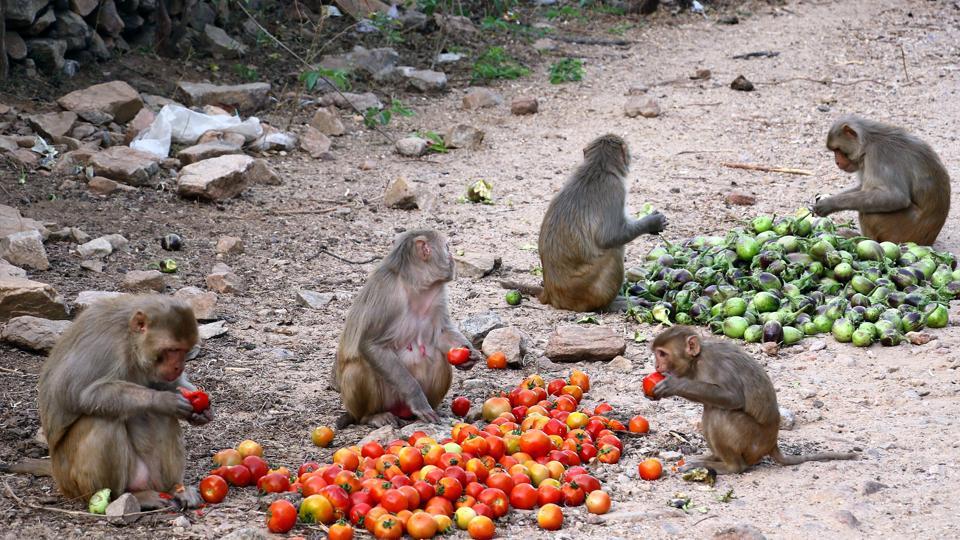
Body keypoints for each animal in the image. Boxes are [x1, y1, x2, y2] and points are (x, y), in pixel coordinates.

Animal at [5, 295, 211, 509]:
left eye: (184, 351)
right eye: (172, 350)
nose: (180, 367)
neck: (130, 342)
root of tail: (56, 473)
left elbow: (165, 383)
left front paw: (201, 412)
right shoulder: (104, 345)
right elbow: (80, 394)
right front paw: (163, 400)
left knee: (163, 419)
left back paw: (173, 488)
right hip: (72, 482)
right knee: (103, 420)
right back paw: (126, 497)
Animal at [332, 230, 482, 428]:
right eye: (447, 247)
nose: (453, 259)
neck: (416, 285)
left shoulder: (438, 293)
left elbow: (441, 334)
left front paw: (469, 355)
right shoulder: (387, 292)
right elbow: (370, 344)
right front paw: (417, 398)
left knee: (436, 357)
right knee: (359, 367)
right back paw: (373, 416)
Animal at [502, 134, 667, 312]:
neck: (597, 167)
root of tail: (550, 294)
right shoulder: (615, 188)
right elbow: (610, 237)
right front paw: (653, 223)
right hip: (585, 291)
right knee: (615, 250)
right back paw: (612, 305)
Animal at [649, 326, 856, 475]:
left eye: (663, 354)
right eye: (657, 354)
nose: (657, 366)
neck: (697, 359)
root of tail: (772, 443)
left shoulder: (716, 365)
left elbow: (733, 398)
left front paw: (674, 384)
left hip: (751, 441)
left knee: (718, 412)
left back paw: (730, 466)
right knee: (710, 408)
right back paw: (713, 458)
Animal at [813, 115, 951, 246]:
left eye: (837, 150)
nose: (836, 162)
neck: (868, 142)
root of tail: (927, 241)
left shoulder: (879, 155)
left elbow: (895, 197)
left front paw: (829, 204)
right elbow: (863, 187)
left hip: (902, 231)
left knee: (870, 212)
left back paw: (864, 240)